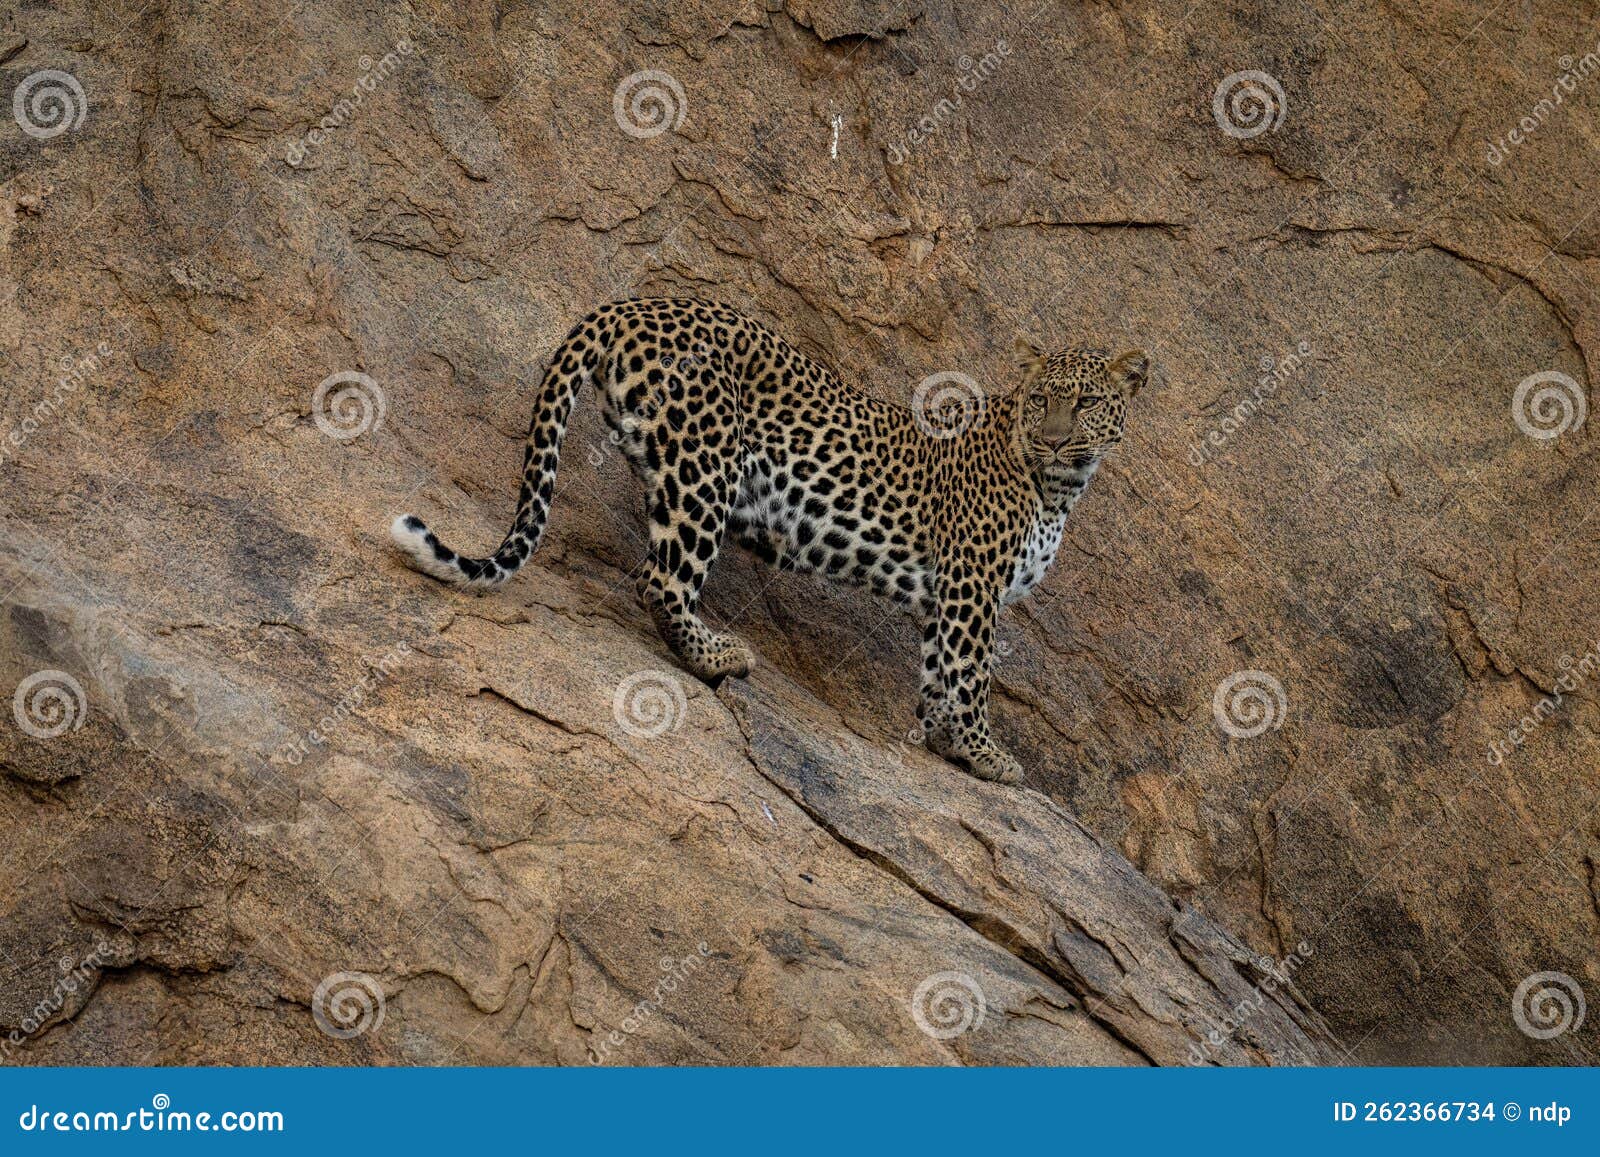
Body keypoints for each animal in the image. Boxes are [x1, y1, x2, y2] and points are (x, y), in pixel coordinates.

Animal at [391, 298, 1146, 784]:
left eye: (1083, 403)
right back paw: (716, 657)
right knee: (660, 578)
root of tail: (634, 304)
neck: (1060, 485)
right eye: (1042, 399)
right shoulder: (971, 584)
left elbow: (940, 672)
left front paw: (942, 742)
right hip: (704, 466)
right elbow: (972, 672)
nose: (1055, 437)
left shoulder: (949, 598)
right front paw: (986, 754)